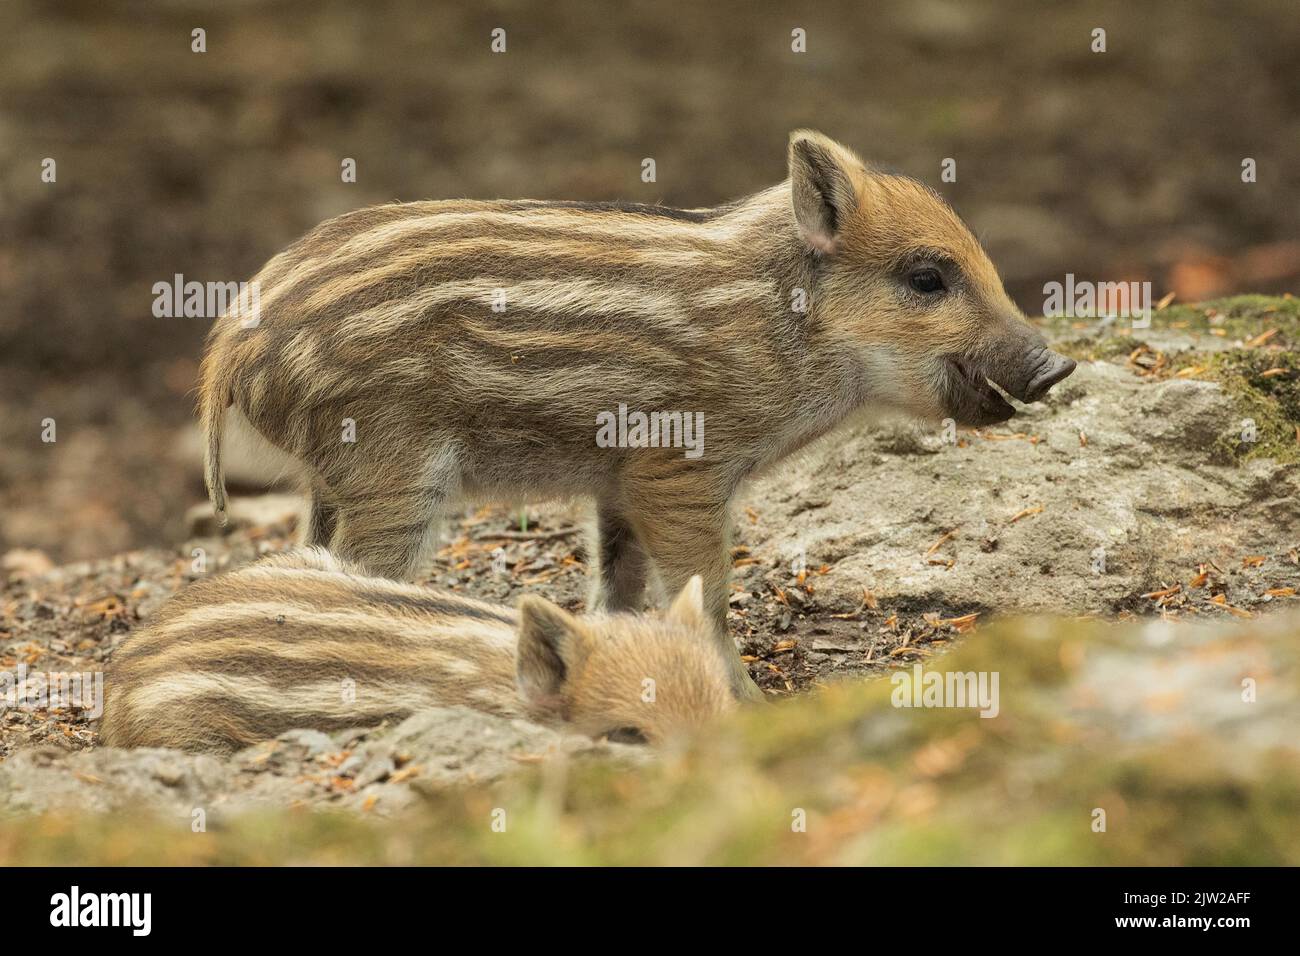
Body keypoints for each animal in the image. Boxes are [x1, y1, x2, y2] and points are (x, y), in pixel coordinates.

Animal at [197, 130, 1076, 701]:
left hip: (331, 477)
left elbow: (616, 583)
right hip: (394, 472)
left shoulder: (617, 480)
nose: (1057, 365)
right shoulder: (677, 469)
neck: (782, 327)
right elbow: (704, 592)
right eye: (927, 278)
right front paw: (748, 702)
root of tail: (232, 346)